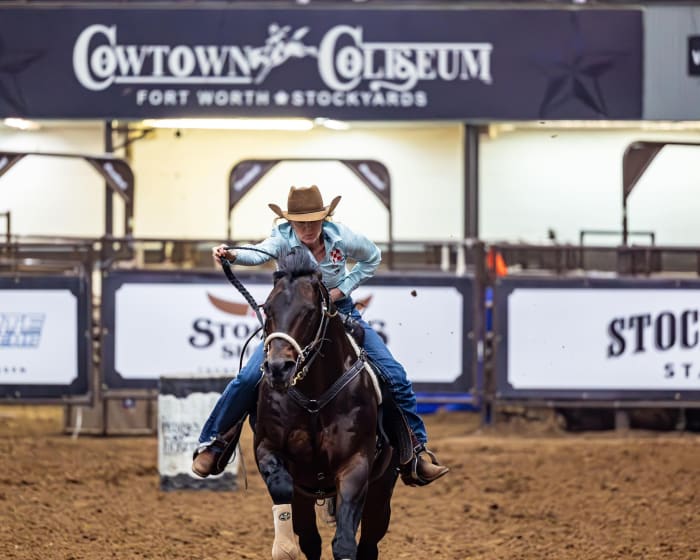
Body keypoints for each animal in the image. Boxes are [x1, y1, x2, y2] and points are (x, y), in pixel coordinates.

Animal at [254, 248, 398, 560]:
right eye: (268, 309)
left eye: (309, 311)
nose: (278, 368)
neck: (313, 399)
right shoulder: (267, 448)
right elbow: (281, 485)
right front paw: (284, 547)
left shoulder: (355, 464)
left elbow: (344, 543)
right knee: (311, 539)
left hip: (382, 490)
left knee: (368, 543)